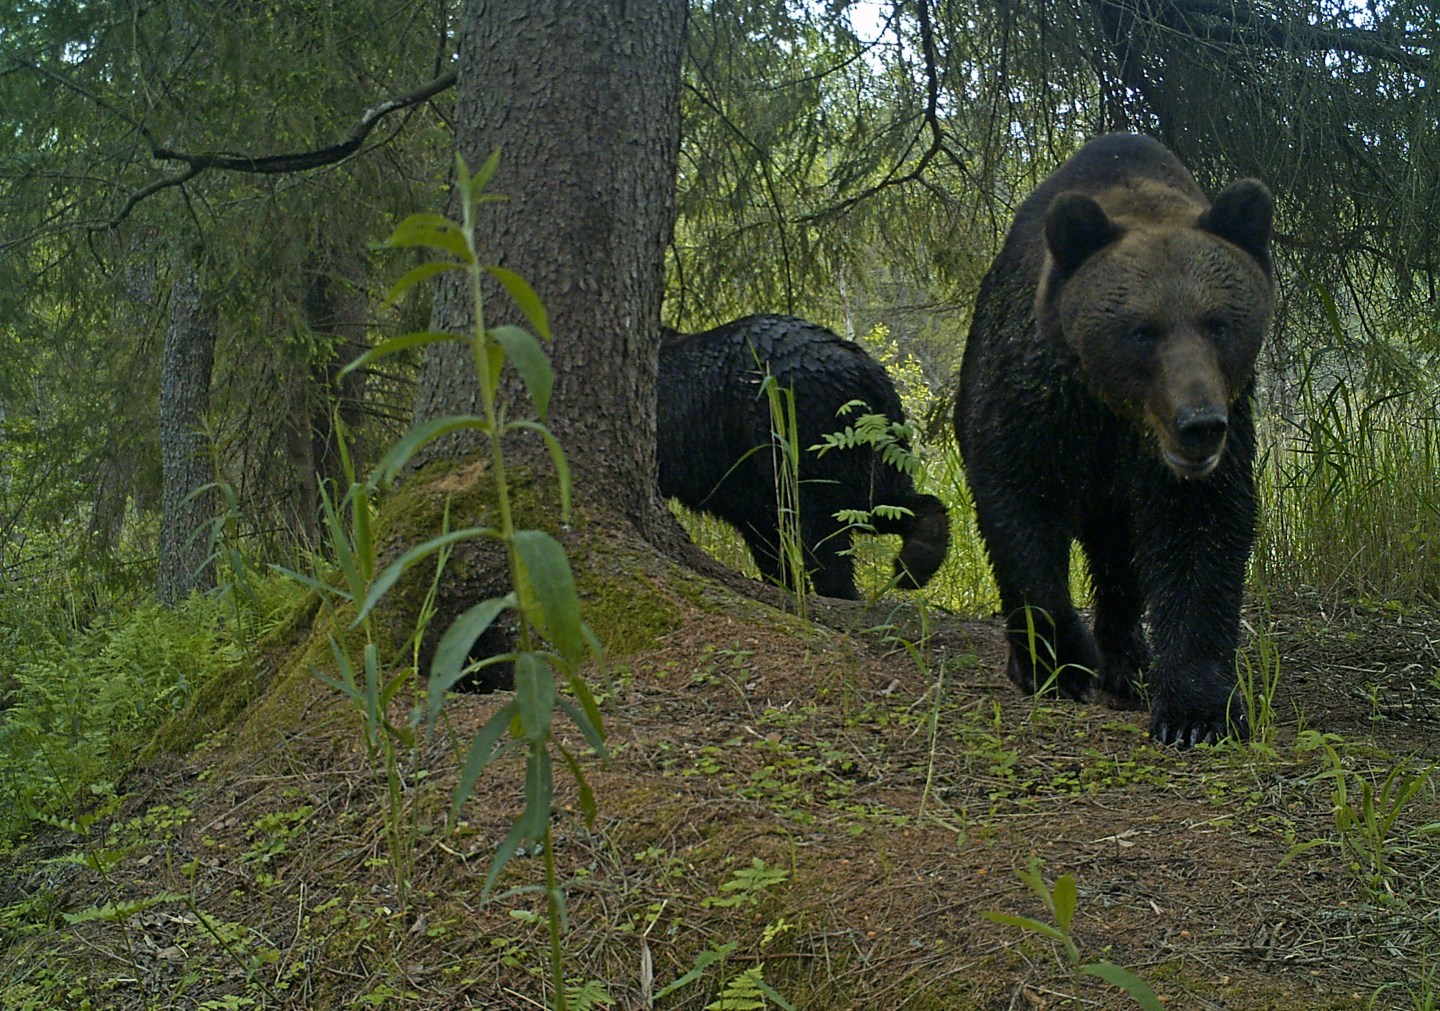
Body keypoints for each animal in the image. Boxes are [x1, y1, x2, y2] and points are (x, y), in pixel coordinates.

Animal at [659, 314, 950, 600]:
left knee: (824, 531)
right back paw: (917, 561)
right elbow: (768, 542)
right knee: (879, 503)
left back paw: (843, 590)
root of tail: (864, 373)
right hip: (866, 449)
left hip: (802, 439)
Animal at [953, 133, 1274, 747]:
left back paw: (1129, 661)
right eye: (1141, 331)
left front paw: (1196, 711)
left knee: (1121, 565)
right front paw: (1055, 662)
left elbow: (1200, 531)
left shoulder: (1206, 441)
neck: (1117, 409)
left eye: (1219, 324)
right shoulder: (1036, 400)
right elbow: (1018, 505)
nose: (1199, 424)